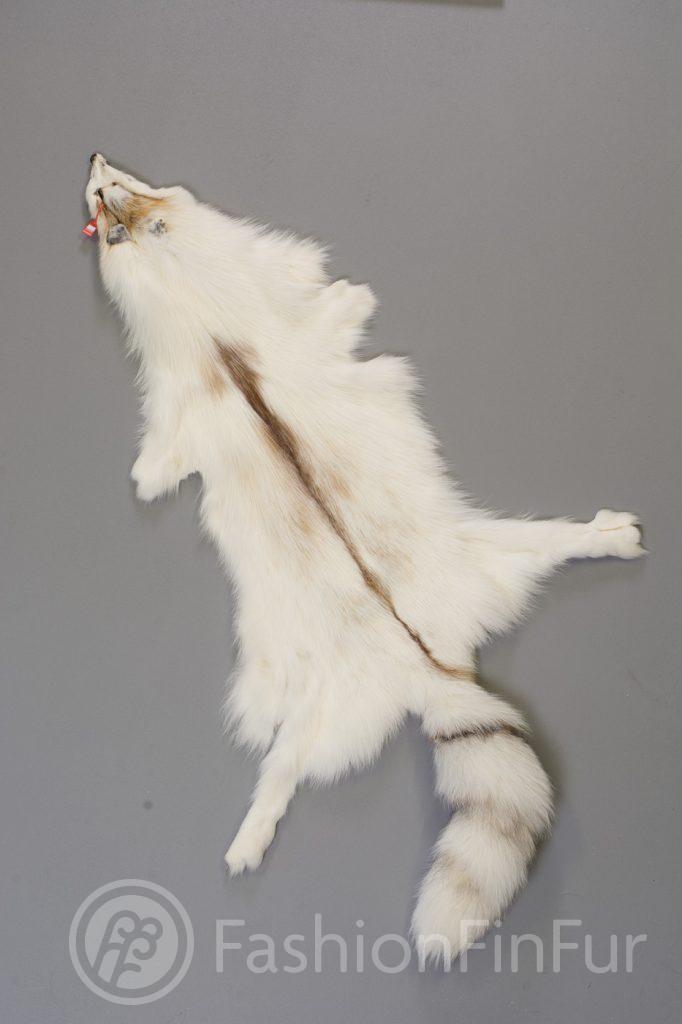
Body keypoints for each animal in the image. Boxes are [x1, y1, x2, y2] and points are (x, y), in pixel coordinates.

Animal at [85, 153, 644, 961]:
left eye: (111, 206)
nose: (94, 161)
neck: (211, 329)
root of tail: (434, 666)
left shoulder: (258, 344)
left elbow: (340, 305)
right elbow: (156, 470)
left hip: (340, 679)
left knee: (282, 770)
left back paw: (249, 838)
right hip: (469, 563)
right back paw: (608, 537)